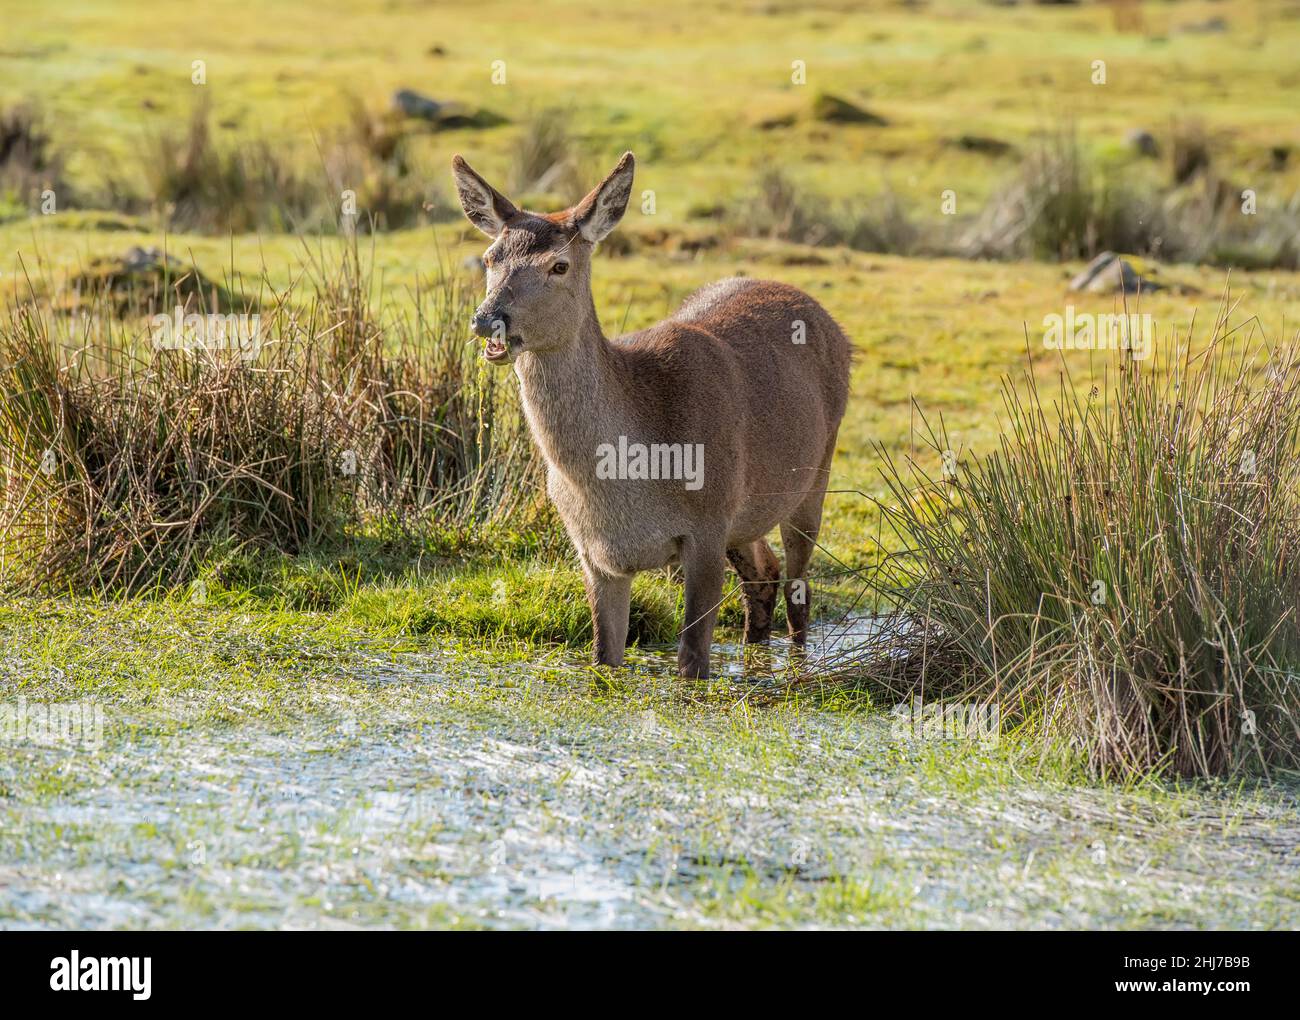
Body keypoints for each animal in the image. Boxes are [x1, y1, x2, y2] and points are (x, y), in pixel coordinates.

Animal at [452, 151, 850, 679]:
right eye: (490, 258)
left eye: (559, 265)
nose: (487, 319)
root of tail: (835, 326)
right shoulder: (594, 554)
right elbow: (603, 656)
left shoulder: (706, 526)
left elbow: (692, 659)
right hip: (744, 511)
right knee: (764, 575)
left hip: (813, 475)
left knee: (798, 593)